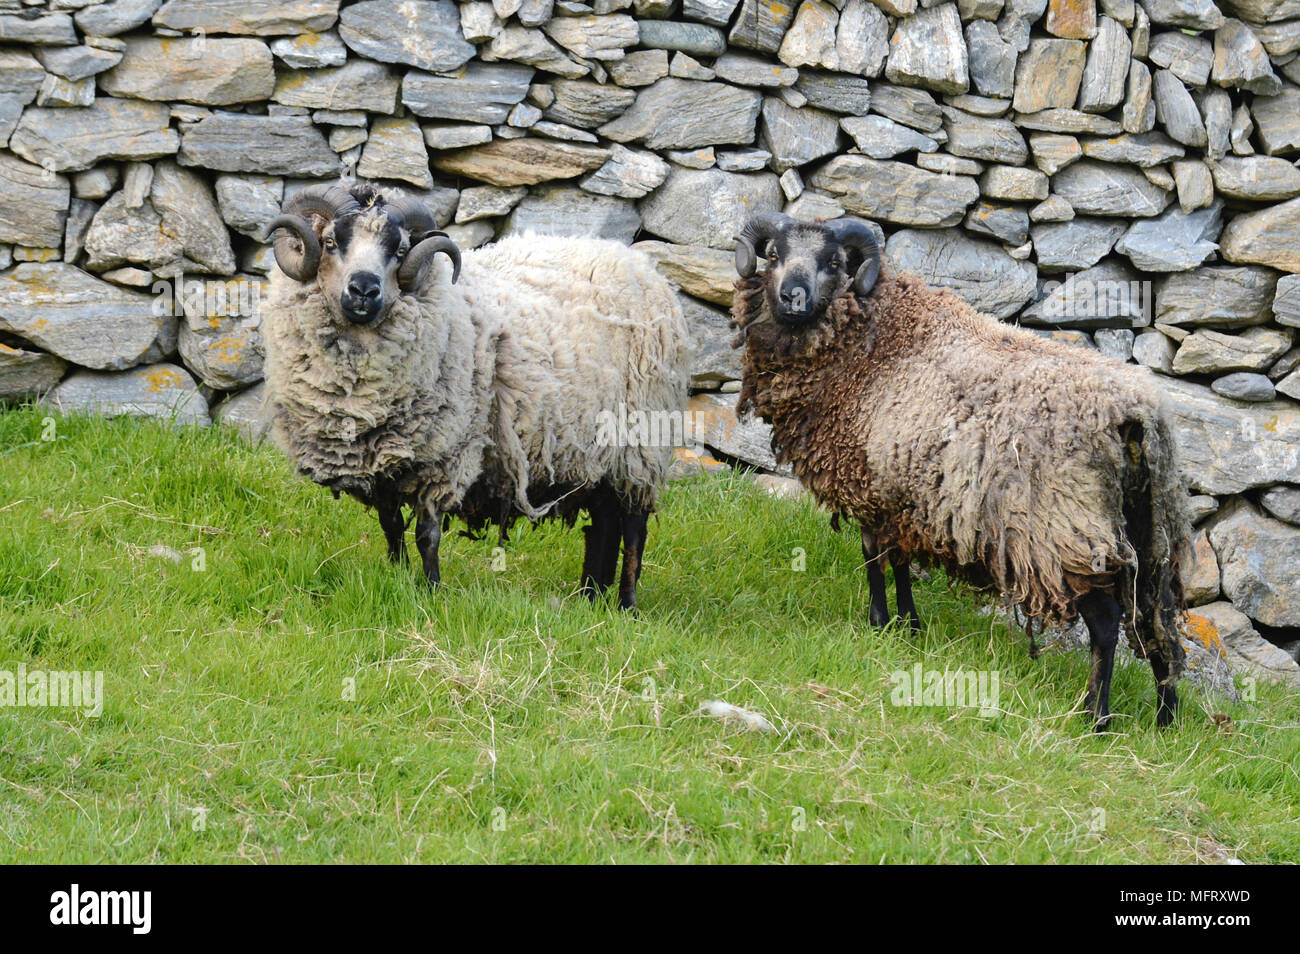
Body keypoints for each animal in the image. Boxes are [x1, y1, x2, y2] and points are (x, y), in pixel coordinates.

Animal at [261, 182, 692, 609]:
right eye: (331, 241)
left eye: (399, 250)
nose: (364, 289)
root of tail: (643, 266)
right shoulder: (383, 461)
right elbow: (392, 527)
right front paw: (397, 576)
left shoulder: (445, 457)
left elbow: (427, 534)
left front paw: (431, 591)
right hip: (597, 453)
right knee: (604, 521)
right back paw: (590, 596)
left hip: (639, 443)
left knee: (633, 526)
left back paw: (625, 604)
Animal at [730, 212, 1191, 729]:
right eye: (773, 255)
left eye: (832, 262)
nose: (794, 297)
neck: (874, 341)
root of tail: (1136, 413)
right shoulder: (903, 495)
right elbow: (900, 561)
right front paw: (909, 627)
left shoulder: (869, 485)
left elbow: (873, 558)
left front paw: (878, 623)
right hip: (1151, 528)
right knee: (1158, 620)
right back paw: (1165, 719)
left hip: (1066, 530)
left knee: (1108, 624)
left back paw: (1096, 716)